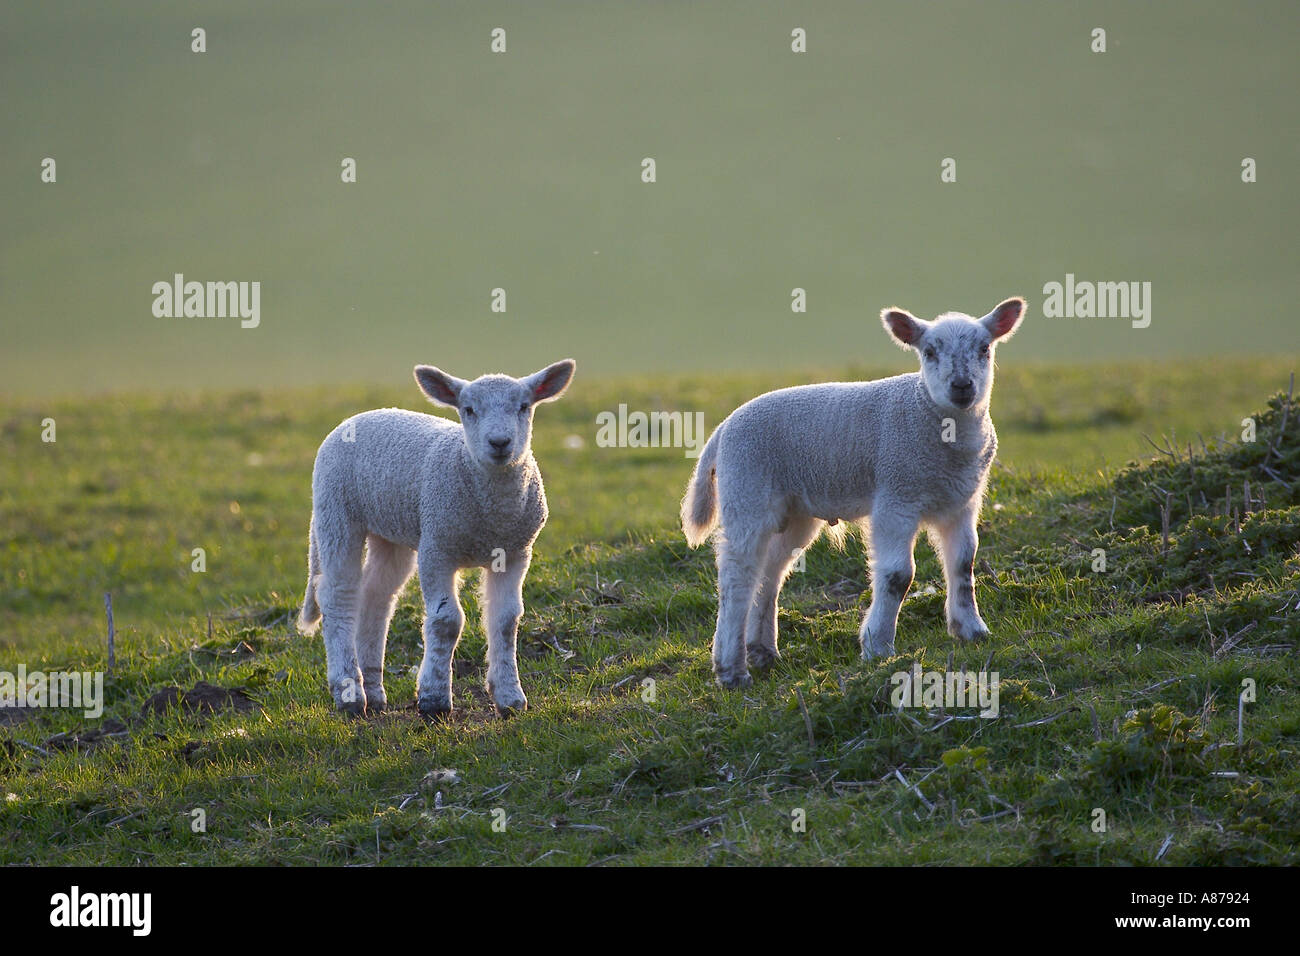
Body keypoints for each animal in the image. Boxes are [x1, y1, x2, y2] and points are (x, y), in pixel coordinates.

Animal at [298, 359, 576, 718]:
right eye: (469, 409)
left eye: (524, 406)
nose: (500, 442)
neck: (491, 515)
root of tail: (358, 417)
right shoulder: (436, 546)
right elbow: (446, 620)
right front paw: (434, 699)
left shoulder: (516, 552)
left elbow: (505, 620)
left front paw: (510, 698)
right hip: (336, 510)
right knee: (338, 595)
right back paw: (350, 694)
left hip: (391, 530)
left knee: (376, 595)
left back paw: (374, 690)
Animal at [681, 297, 1026, 688]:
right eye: (929, 351)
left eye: (985, 349)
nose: (962, 386)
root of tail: (723, 429)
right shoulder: (896, 496)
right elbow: (898, 575)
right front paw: (878, 646)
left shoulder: (962, 502)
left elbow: (963, 563)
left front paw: (971, 630)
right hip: (746, 493)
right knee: (737, 577)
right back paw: (731, 670)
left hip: (794, 512)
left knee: (768, 573)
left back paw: (763, 652)